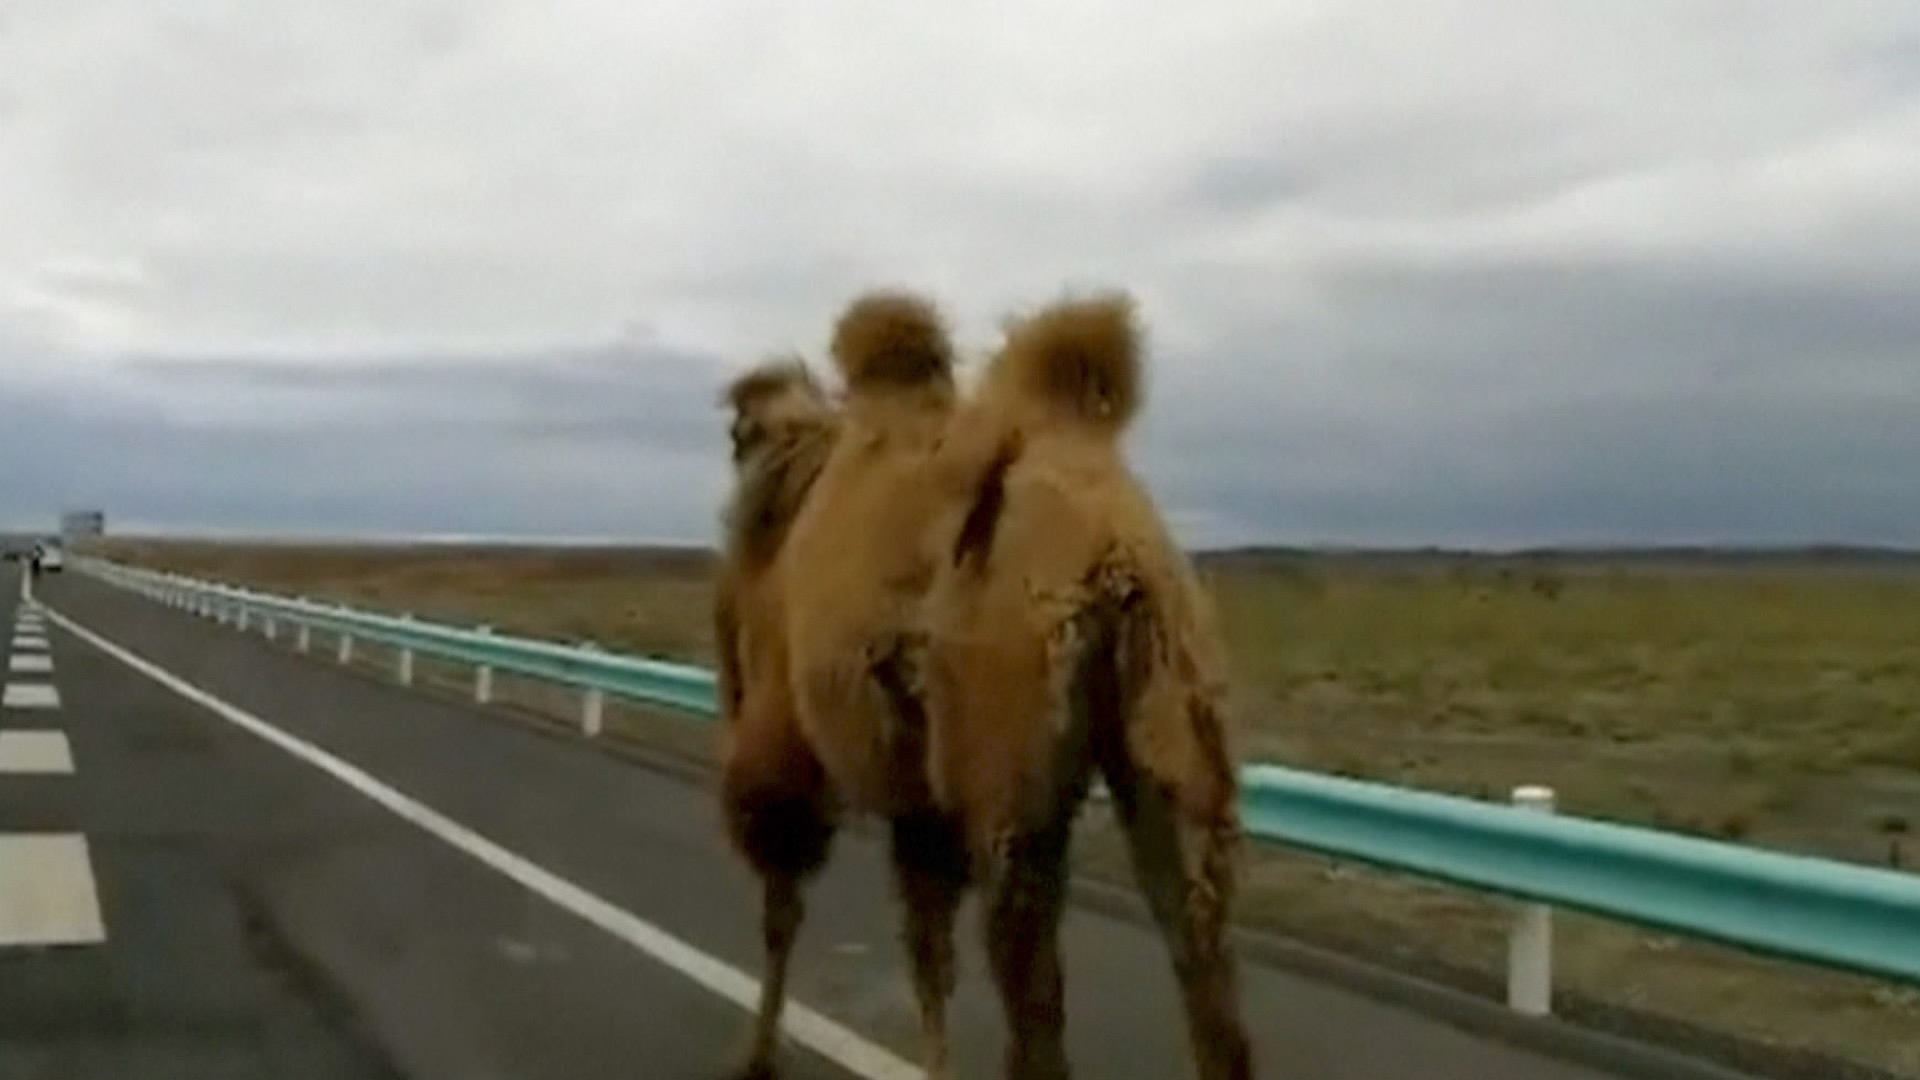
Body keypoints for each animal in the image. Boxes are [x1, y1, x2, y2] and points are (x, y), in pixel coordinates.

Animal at [713, 289, 1253, 1080]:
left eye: (736, 437)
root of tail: (1115, 550)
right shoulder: (920, 799)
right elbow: (929, 954)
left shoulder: (787, 741)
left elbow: (786, 906)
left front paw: (754, 1060)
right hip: (1171, 730)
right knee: (1203, 964)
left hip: (1007, 767)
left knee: (1035, 1010)